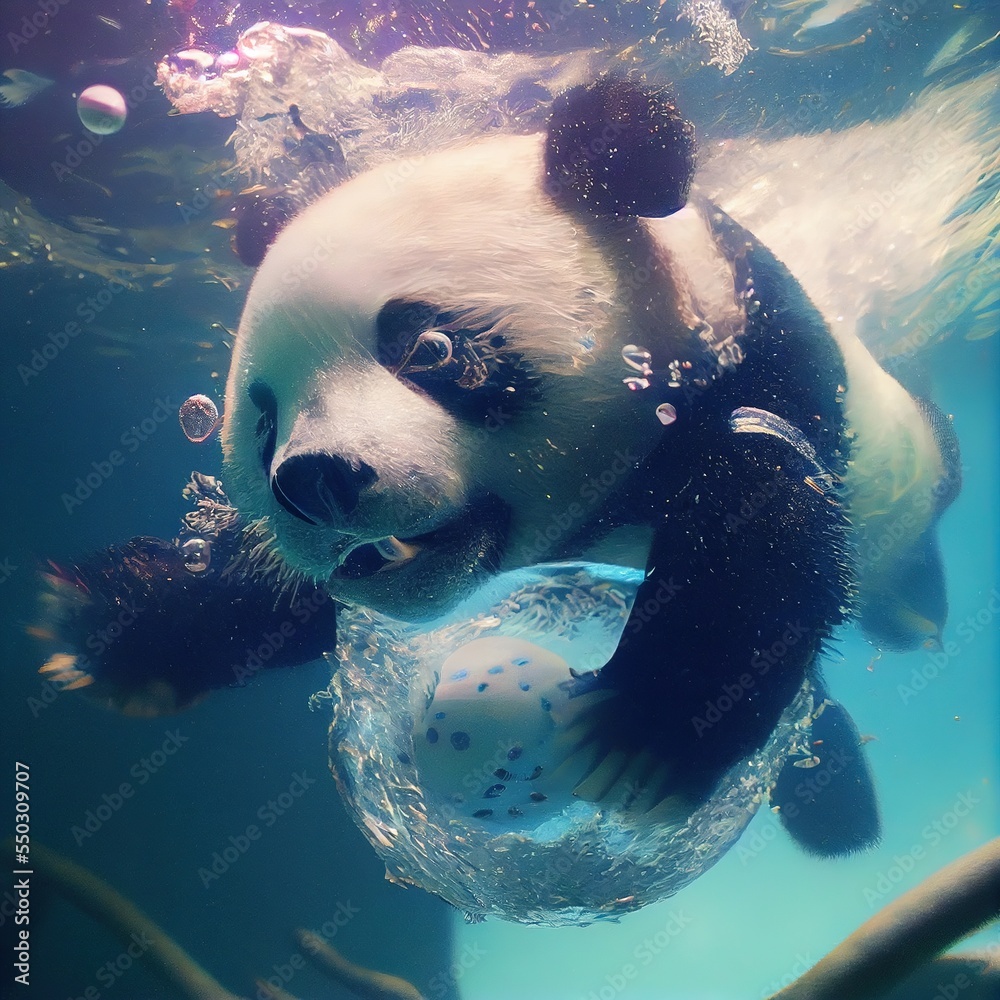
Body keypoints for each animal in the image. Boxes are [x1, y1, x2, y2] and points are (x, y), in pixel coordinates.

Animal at [37, 79, 959, 911]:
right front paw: (110, 625)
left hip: (910, 462)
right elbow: (277, 591)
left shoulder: (756, 359)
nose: (315, 481)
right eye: (263, 416)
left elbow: (765, 508)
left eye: (425, 349)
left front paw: (637, 738)